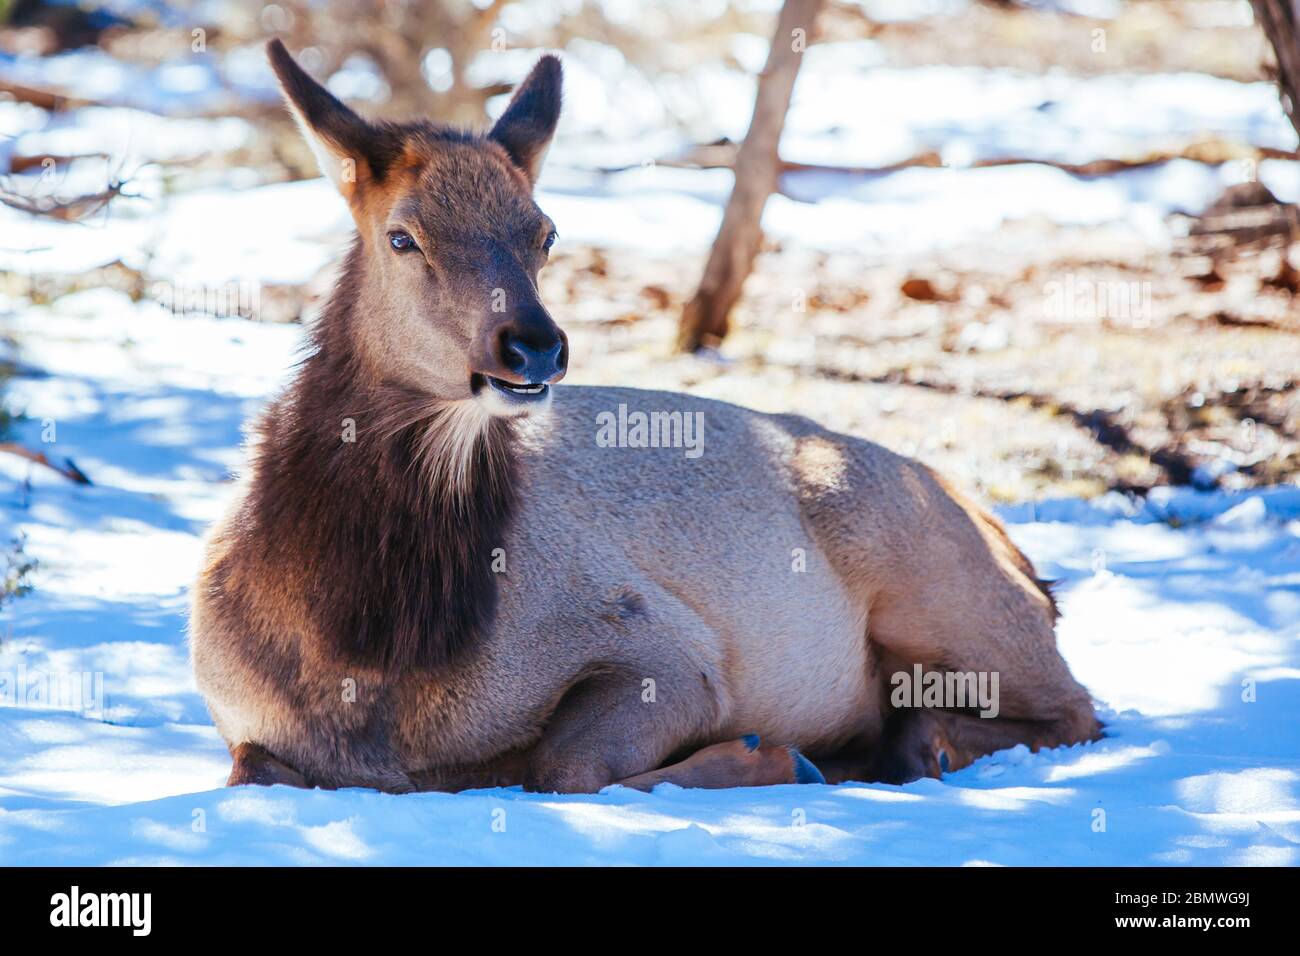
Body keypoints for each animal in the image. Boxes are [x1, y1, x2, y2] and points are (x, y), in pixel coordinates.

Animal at [189, 39, 1101, 795]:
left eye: (545, 232)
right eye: (402, 237)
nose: (534, 345)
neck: (369, 659)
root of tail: (1025, 561)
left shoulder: (666, 645)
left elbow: (564, 764)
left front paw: (765, 755)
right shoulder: (244, 725)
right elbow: (252, 766)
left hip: (943, 599)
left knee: (1077, 709)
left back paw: (887, 747)